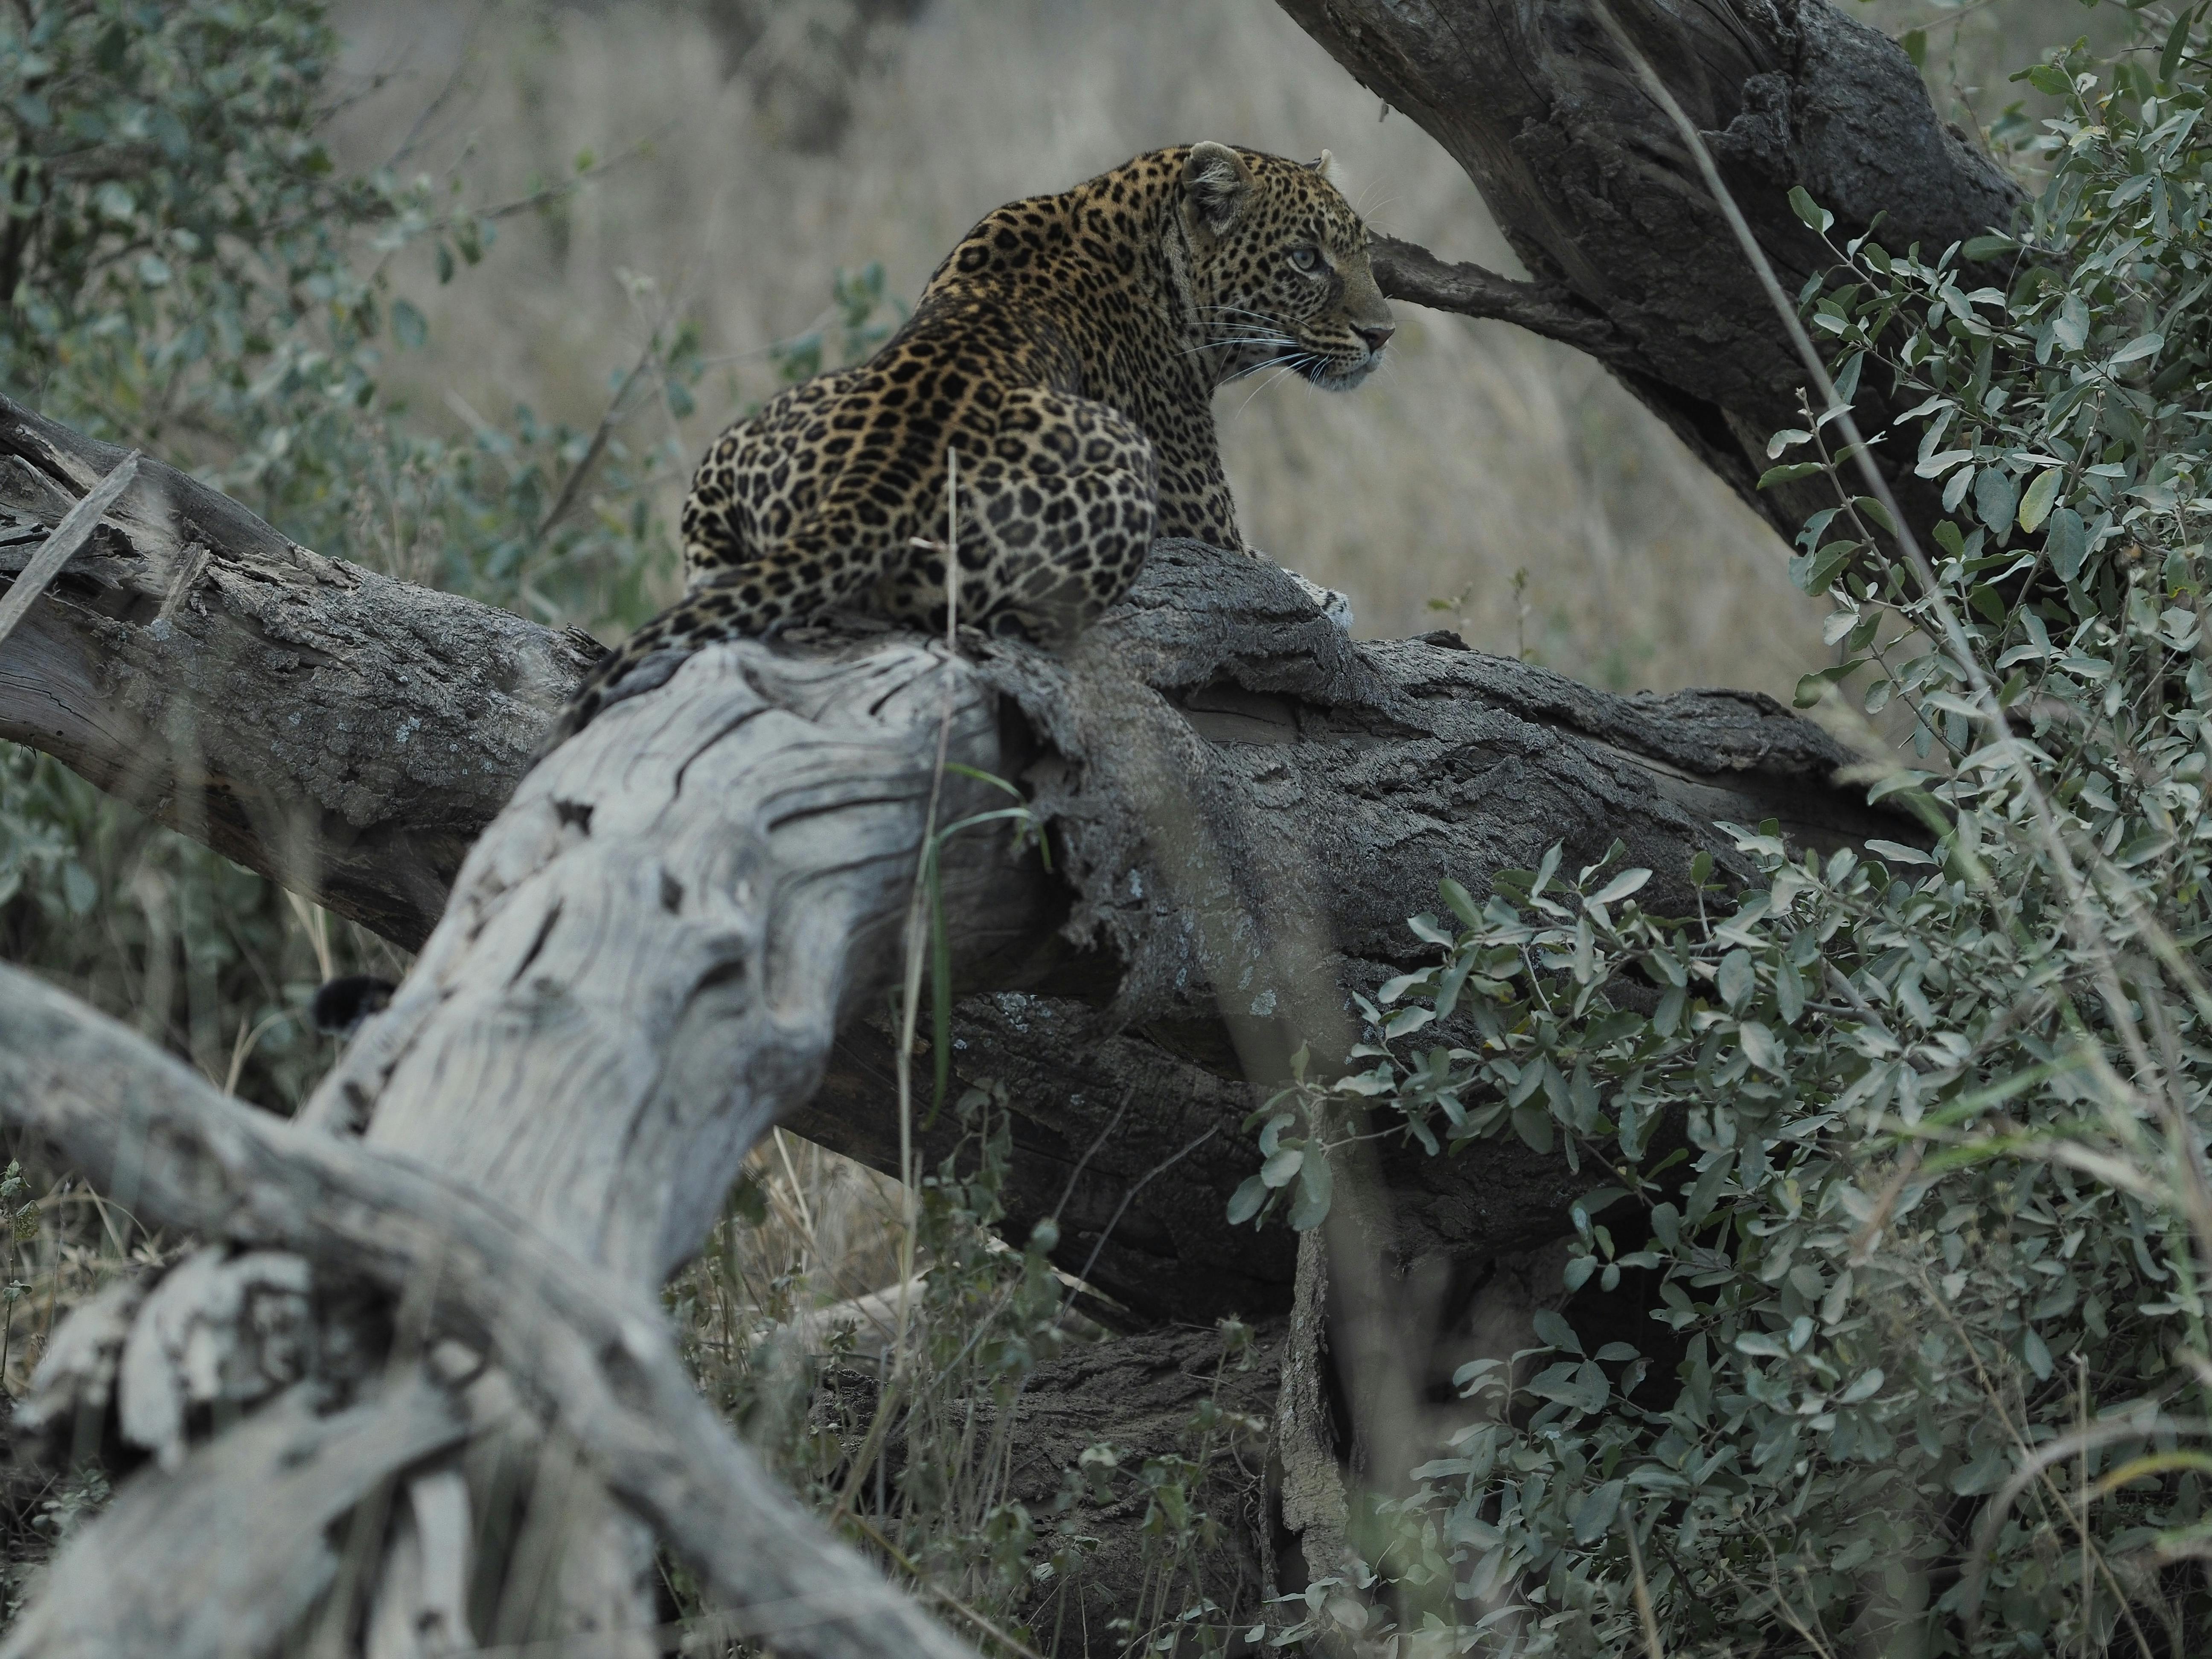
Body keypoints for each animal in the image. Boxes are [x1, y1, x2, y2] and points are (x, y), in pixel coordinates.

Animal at [547, 141, 1395, 744]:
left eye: (1362, 251)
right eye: (1305, 259)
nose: (1385, 332)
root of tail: (865, 495)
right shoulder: (1205, 517)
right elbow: (1279, 575)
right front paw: (1329, 599)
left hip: (732, 446)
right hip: (1121, 464)